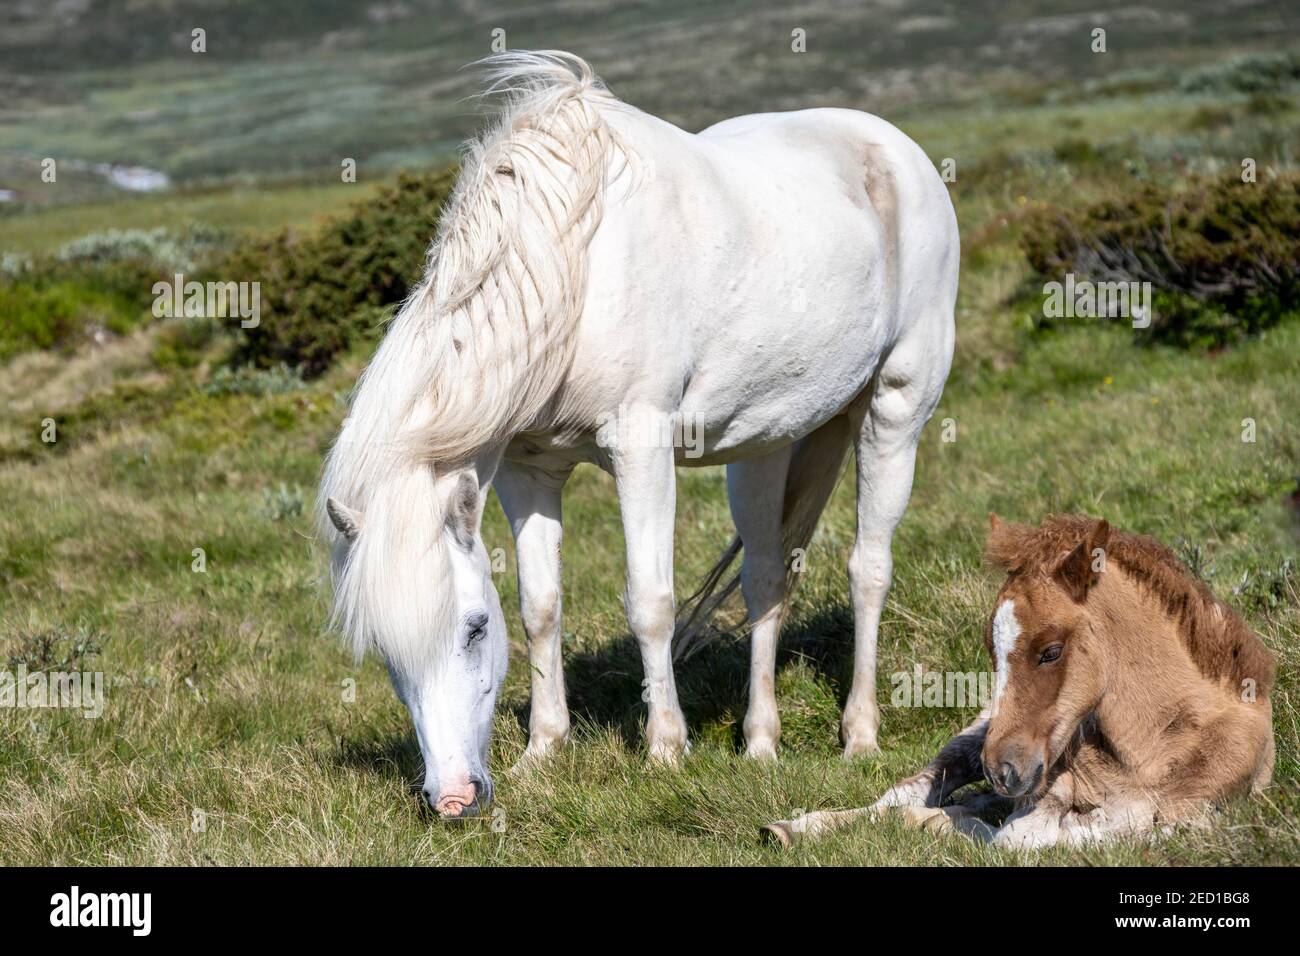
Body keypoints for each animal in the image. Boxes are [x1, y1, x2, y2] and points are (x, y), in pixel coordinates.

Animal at [319, 51, 959, 817]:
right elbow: (540, 607)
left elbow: (649, 602)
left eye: (473, 628)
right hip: (768, 444)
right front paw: (544, 750)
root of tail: (897, 149)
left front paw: (665, 749)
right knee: (767, 576)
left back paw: (859, 734)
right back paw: (760, 742)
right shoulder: (527, 470)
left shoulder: (639, 446)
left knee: (869, 569)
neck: (571, 265)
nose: (452, 799)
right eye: (386, 654)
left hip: (896, 408)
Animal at [764, 515, 1276, 849]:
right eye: (992, 652)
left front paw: (935, 824)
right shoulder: (1044, 791)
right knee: (908, 792)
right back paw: (793, 828)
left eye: (1051, 651)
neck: (1151, 749)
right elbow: (1014, 836)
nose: (1003, 769)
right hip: (977, 735)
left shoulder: (1188, 809)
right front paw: (930, 824)